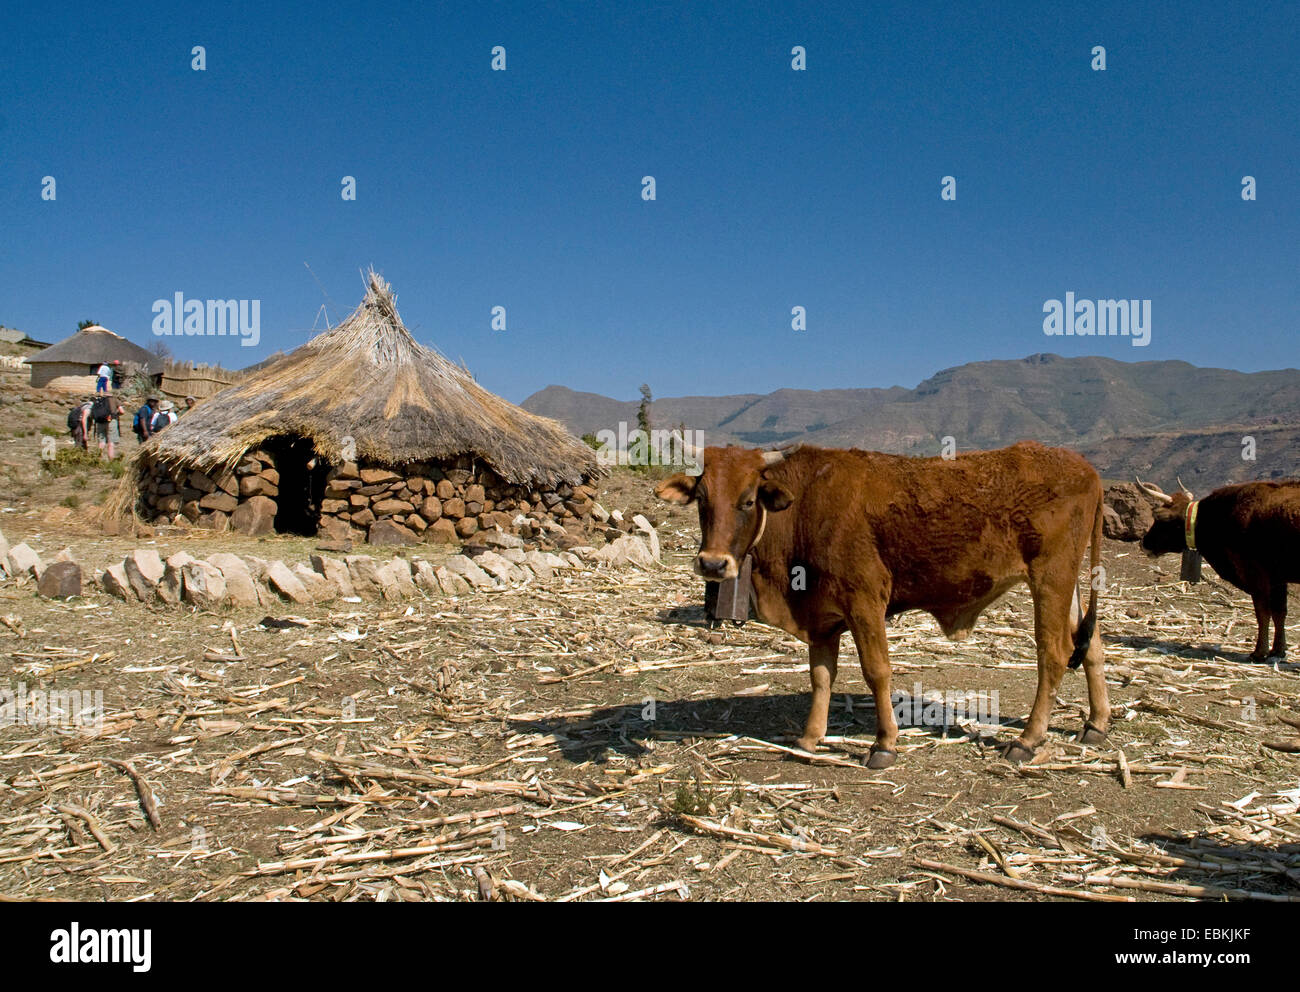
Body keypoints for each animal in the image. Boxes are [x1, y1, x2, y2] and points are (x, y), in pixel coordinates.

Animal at [654, 442, 1109, 767]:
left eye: (748, 499)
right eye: (702, 499)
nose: (713, 564)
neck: (805, 506)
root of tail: (1087, 469)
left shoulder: (865, 599)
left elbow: (877, 672)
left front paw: (885, 743)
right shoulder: (820, 616)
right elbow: (821, 676)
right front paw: (810, 737)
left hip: (1051, 579)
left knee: (1054, 653)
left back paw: (1029, 739)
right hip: (1066, 586)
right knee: (1093, 648)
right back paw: (1096, 723)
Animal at [1137, 477, 1300, 661]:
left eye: (1161, 518)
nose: (1143, 543)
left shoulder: (1254, 573)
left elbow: (1263, 612)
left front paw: (1259, 652)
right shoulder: (1277, 578)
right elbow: (1280, 612)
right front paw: (1278, 650)